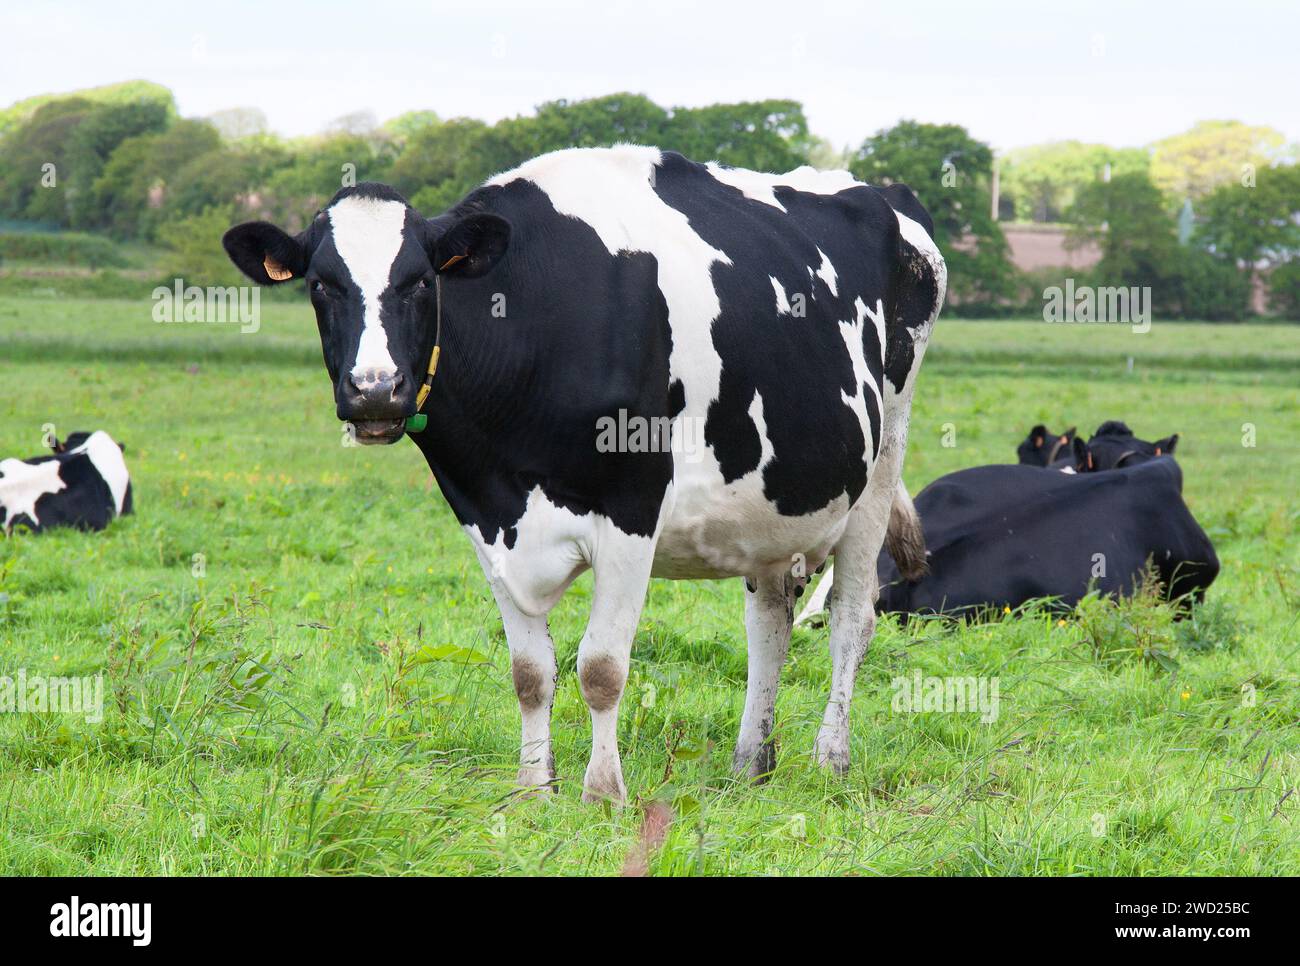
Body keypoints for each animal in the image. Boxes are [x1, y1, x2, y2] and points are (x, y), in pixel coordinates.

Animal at [223, 145, 946, 802]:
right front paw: (532, 790)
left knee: (851, 619)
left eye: (421, 281)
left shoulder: (632, 507)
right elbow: (529, 672)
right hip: (772, 506)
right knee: (769, 620)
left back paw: (831, 759)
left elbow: (601, 667)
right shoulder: (486, 520)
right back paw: (750, 763)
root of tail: (880, 193)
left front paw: (604, 794)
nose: (375, 391)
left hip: (881, 462)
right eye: (321, 285)